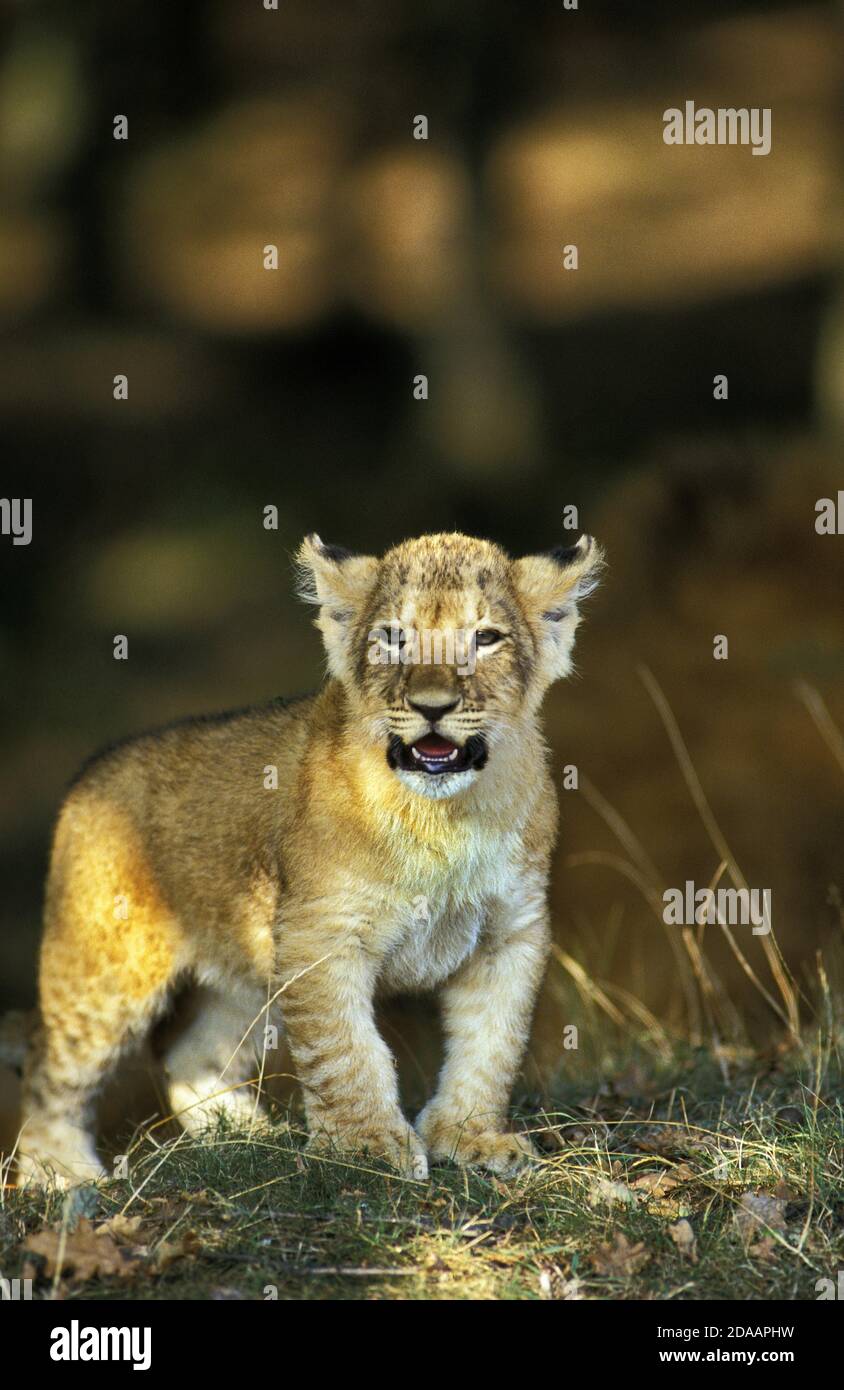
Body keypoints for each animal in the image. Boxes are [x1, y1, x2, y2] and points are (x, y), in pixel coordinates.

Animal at [15, 530, 603, 1186]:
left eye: (486, 638)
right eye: (392, 637)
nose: (432, 706)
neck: (445, 820)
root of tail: (88, 777)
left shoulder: (511, 932)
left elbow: (492, 1045)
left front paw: (469, 1137)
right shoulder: (320, 933)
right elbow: (347, 1050)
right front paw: (366, 1147)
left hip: (244, 971)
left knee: (190, 1054)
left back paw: (244, 1139)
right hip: (105, 970)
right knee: (51, 1068)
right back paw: (59, 1173)